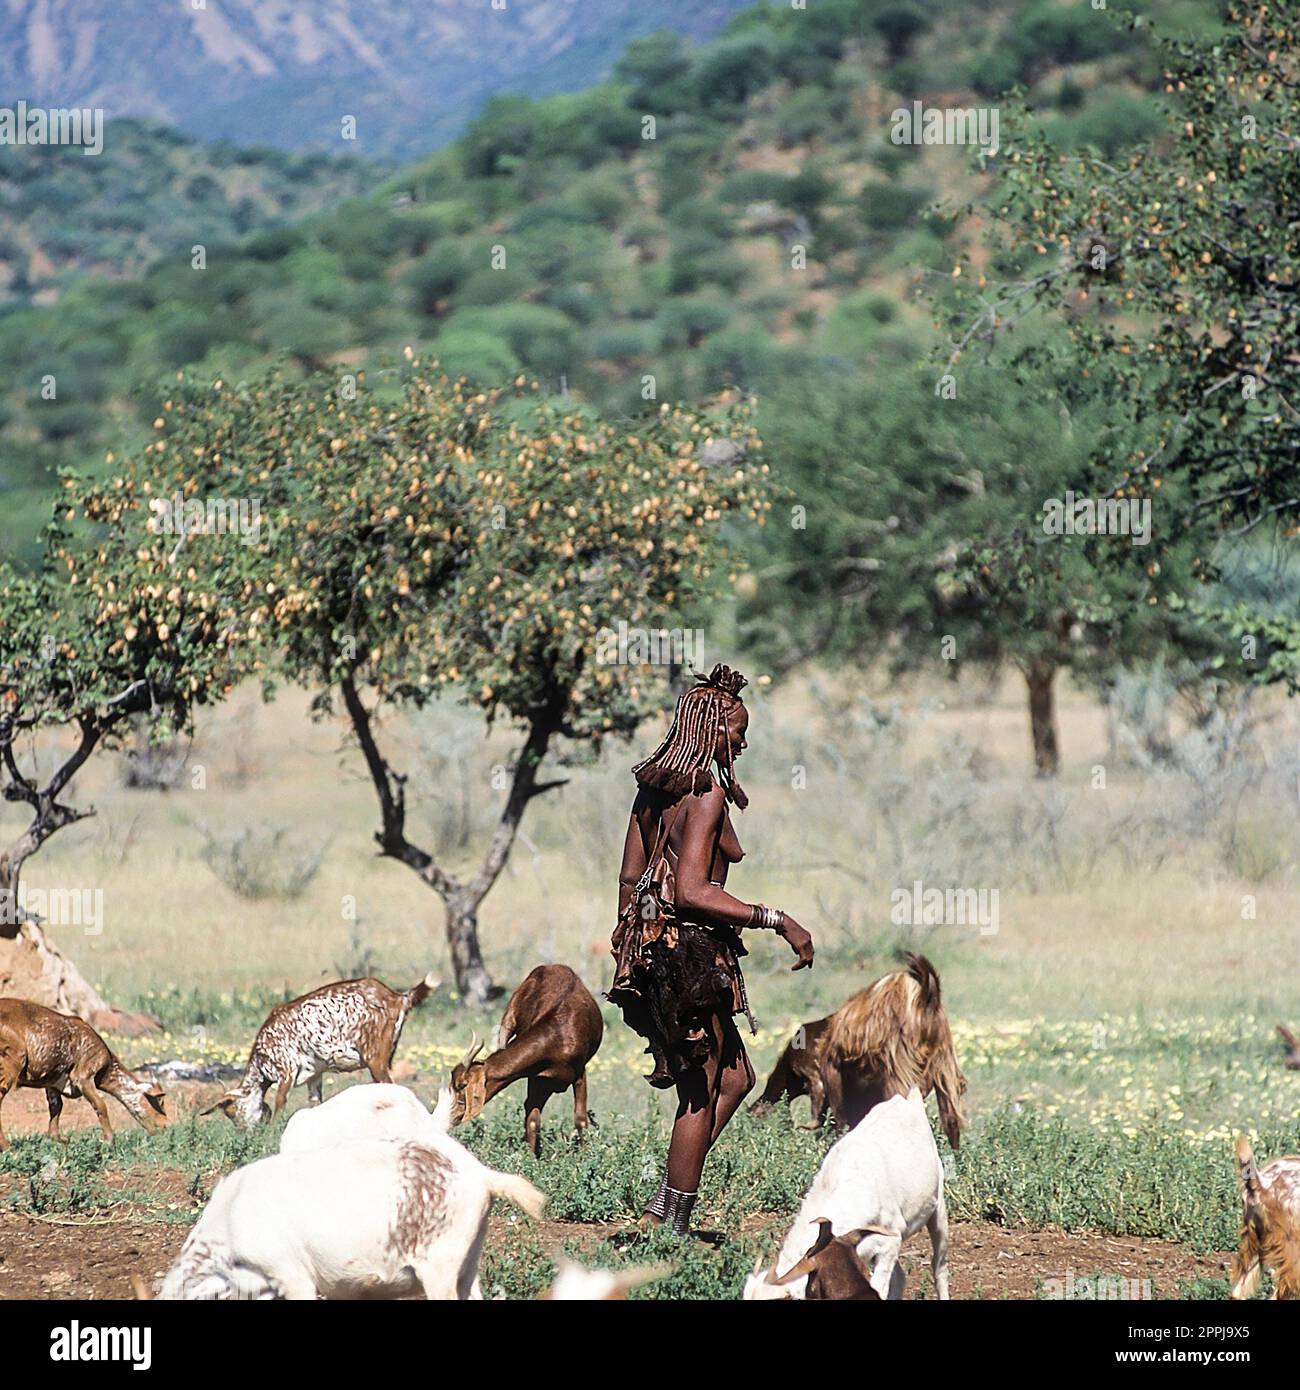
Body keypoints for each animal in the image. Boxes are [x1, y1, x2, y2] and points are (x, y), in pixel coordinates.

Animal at [0, 998, 167, 1148]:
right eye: (160, 1101)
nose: (165, 1126)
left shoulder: (53, 1081)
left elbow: (56, 1107)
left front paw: (59, 1139)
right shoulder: (83, 1074)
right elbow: (100, 1104)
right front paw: (109, 1141)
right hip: (13, 1059)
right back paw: (8, 1147)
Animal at [203, 973, 438, 1128]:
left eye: (232, 1111)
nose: (245, 1134)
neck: (261, 1059)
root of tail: (398, 997)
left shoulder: (286, 1069)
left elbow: (280, 1102)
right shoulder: (314, 1074)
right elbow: (315, 1103)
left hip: (375, 1058)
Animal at [450, 964, 602, 1156]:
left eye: (462, 1085)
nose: (451, 1115)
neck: (559, 1033)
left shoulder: (579, 1073)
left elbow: (580, 1118)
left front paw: (585, 1156)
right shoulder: (536, 1076)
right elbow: (532, 1117)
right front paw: (530, 1157)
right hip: (507, 1023)